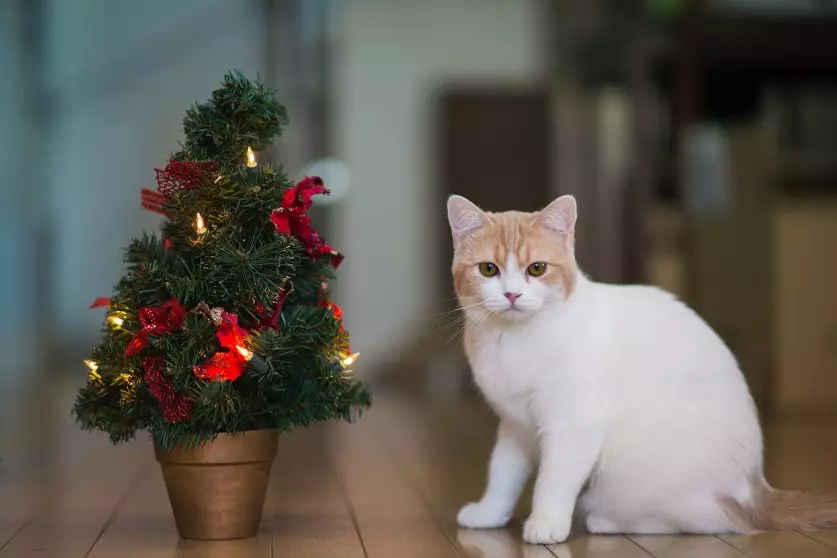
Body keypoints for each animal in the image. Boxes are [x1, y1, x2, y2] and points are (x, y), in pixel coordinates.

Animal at [444, 195, 836, 544]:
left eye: (536, 268)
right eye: (489, 269)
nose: (511, 295)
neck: (513, 341)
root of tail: (757, 489)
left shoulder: (573, 426)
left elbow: (552, 481)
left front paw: (546, 524)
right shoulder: (516, 426)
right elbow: (502, 473)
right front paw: (489, 513)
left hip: (636, 475)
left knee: (715, 521)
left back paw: (604, 520)